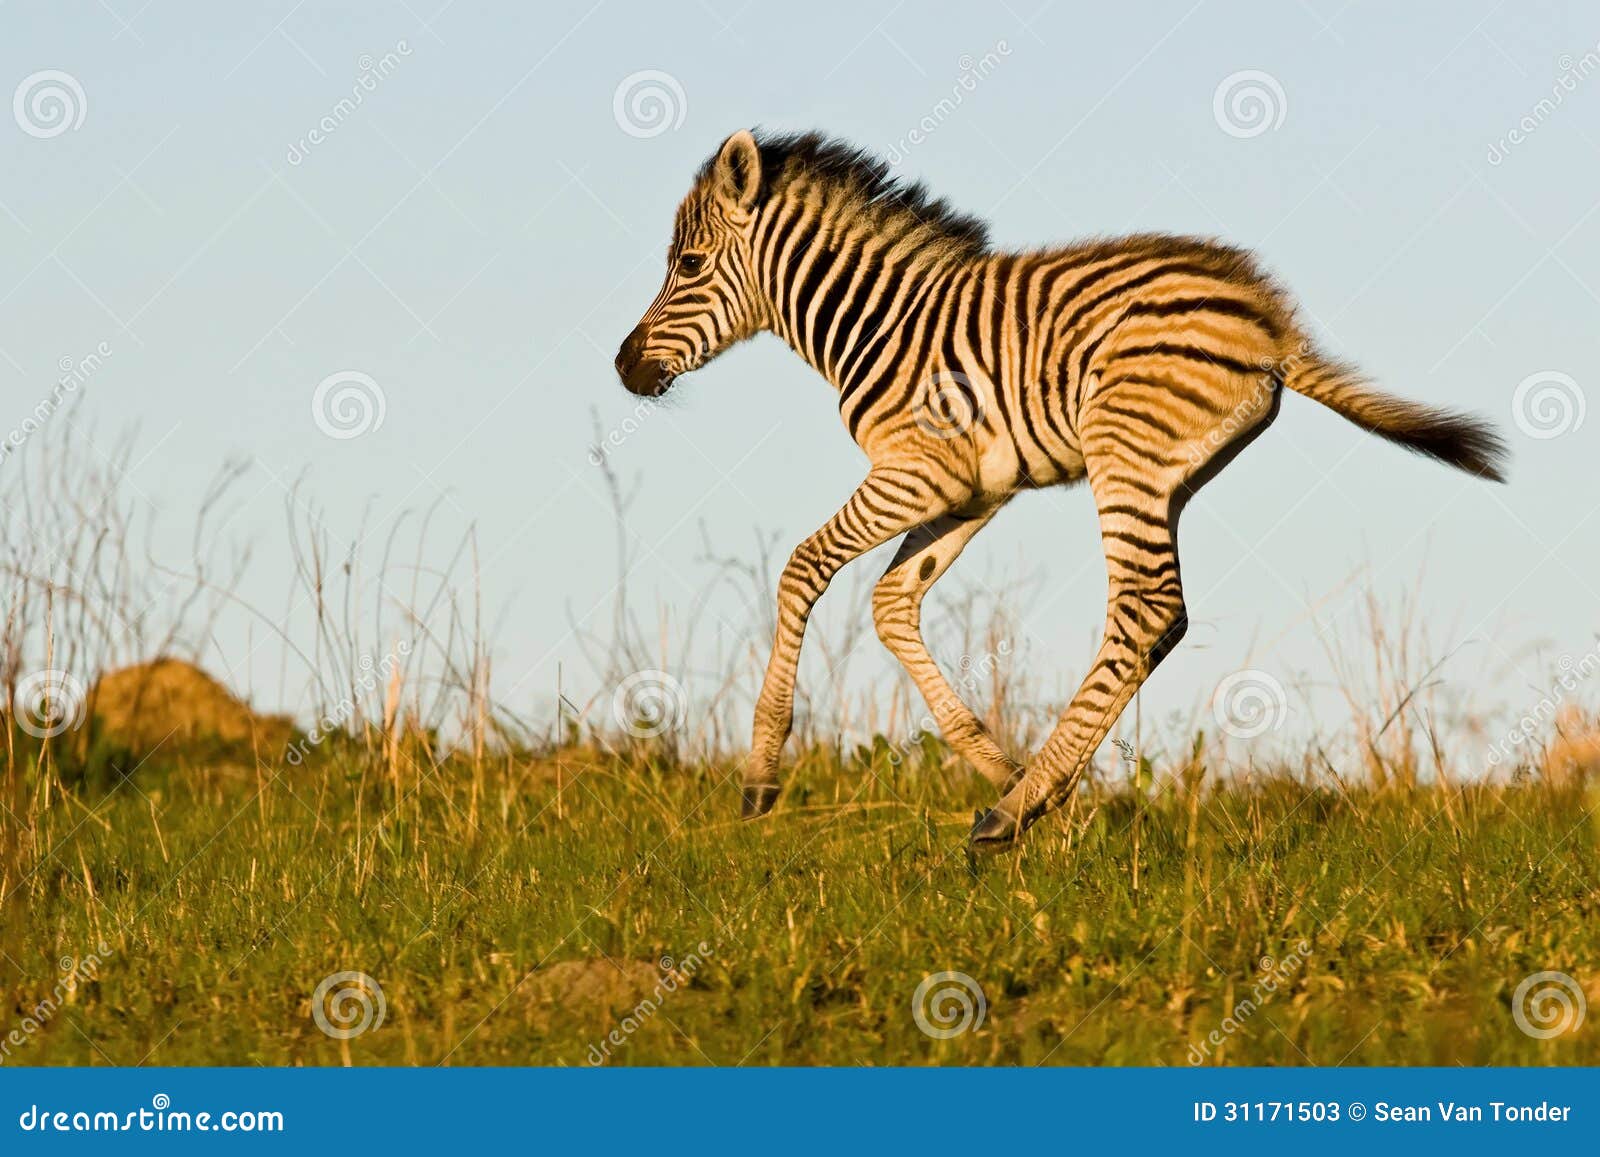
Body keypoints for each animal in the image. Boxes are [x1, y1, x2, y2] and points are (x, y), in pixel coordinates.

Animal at [613, 129, 1508, 851]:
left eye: (688, 265)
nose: (624, 367)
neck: (876, 322)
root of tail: (1271, 321)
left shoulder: (917, 470)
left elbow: (803, 567)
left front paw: (762, 774)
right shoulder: (971, 489)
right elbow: (894, 600)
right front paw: (993, 757)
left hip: (1121, 450)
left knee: (1149, 607)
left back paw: (1016, 813)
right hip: (1168, 472)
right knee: (1152, 619)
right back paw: (1029, 792)